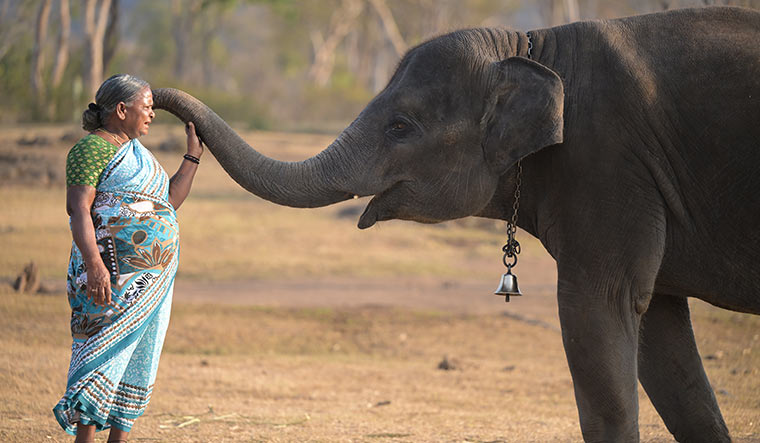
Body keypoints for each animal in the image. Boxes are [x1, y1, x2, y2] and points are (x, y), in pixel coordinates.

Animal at [153, 6, 760, 442]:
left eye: (400, 126)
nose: (139, 94)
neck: (532, 46)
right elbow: (661, 333)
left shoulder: (608, 167)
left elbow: (600, 314)